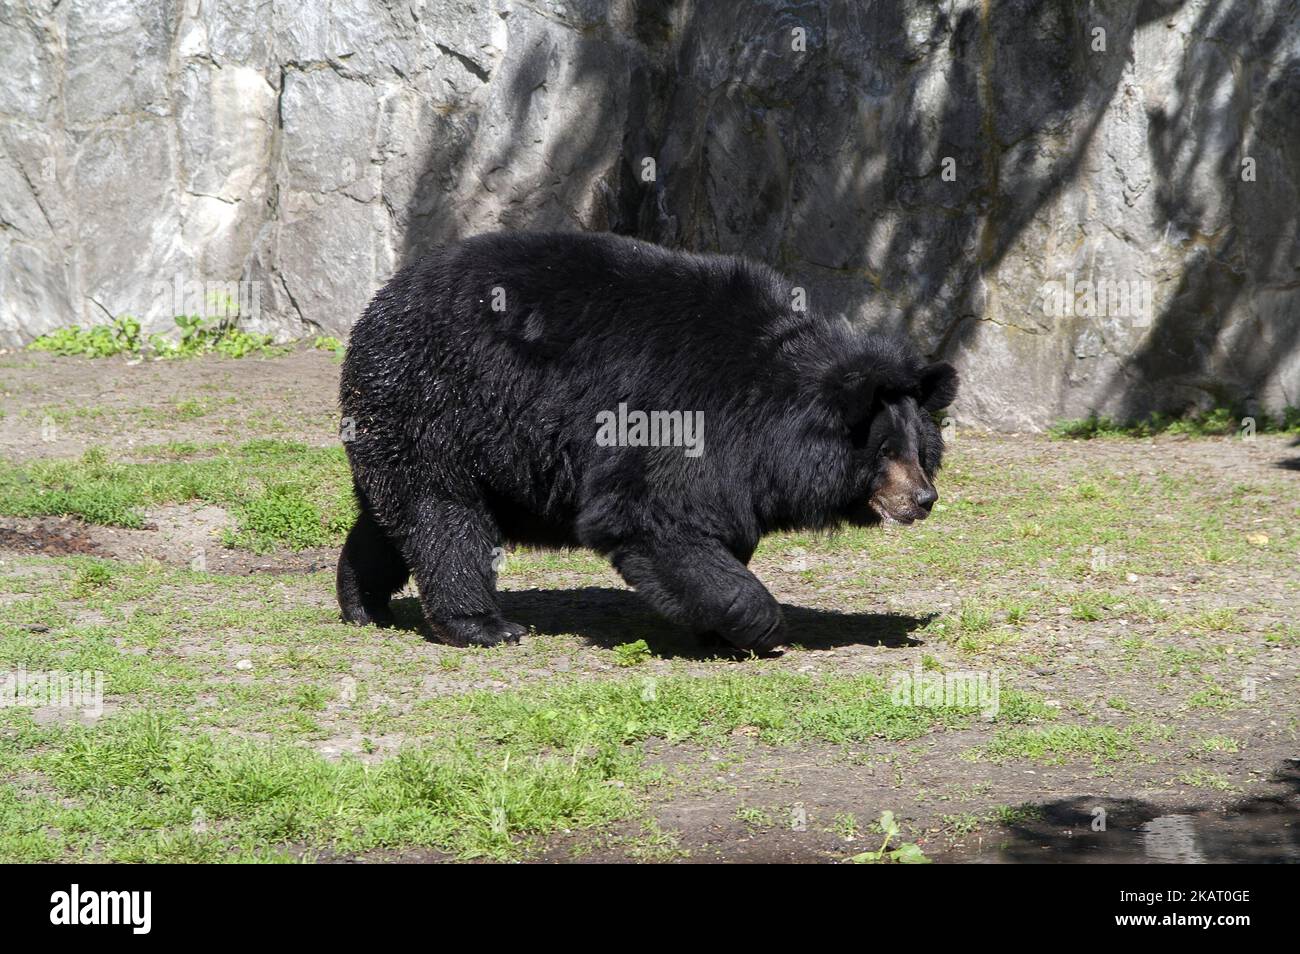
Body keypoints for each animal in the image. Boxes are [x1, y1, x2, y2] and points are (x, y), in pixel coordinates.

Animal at [337, 230, 958, 651]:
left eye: (922, 452)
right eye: (885, 453)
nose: (923, 499)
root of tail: (379, 304)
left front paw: (716, 625)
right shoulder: (680, 412)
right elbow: (650, 513)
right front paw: (760, 624)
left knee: (395, 516)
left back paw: (364, 602)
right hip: (441, 404)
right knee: (445, 514)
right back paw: (483, 624)